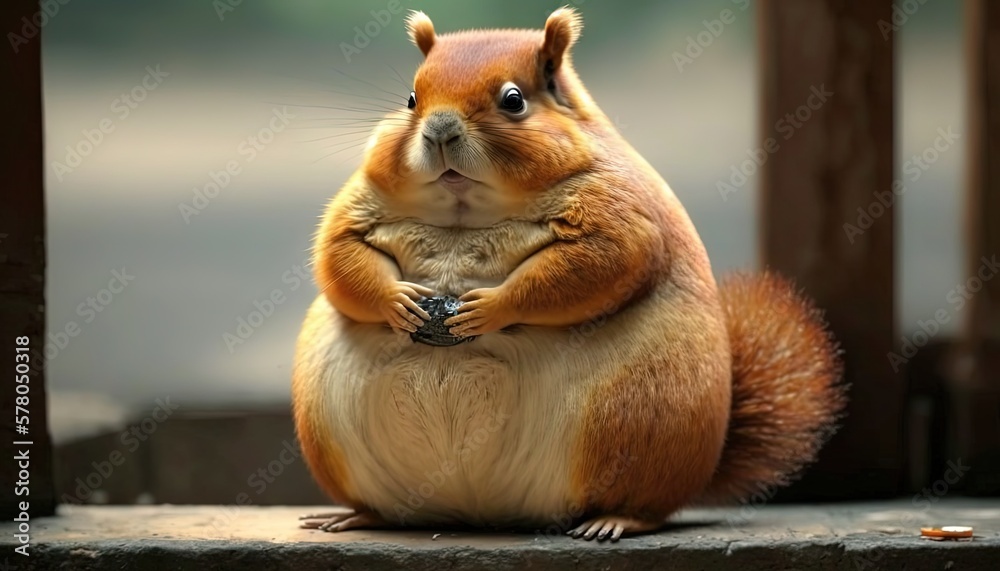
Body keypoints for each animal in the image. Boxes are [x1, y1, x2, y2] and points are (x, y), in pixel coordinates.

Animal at [292, 8, 846, 542]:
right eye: (411, 99)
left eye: (514, 100)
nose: (440, 129)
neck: (464, 206)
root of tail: (479, 512)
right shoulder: (355, 207)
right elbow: (337, 256)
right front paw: (396, 303)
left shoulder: (619, 213)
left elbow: (596, 264)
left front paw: (490, 307)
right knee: (389, 509)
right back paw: (358, 516)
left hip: (643, 416)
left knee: (646, 504)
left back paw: (615, 520)